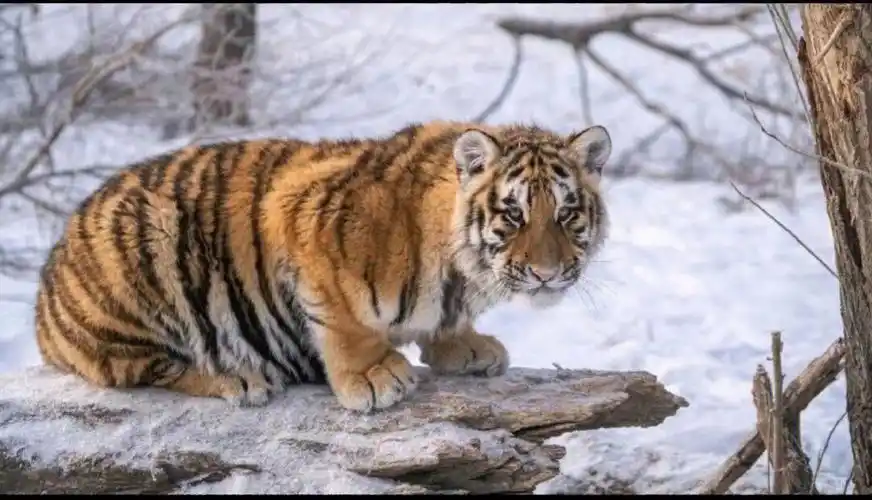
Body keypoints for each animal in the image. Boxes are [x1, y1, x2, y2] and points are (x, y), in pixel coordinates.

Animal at [33, 120, 613, 412]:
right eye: (513, 215)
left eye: (566, 213)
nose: (546, 273)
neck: (464, 275)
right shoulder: (301, 222)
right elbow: (348, 325)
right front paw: (374, 378)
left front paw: (466, 345)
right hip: (143, 252)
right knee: (146, 369)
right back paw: (238, 376)